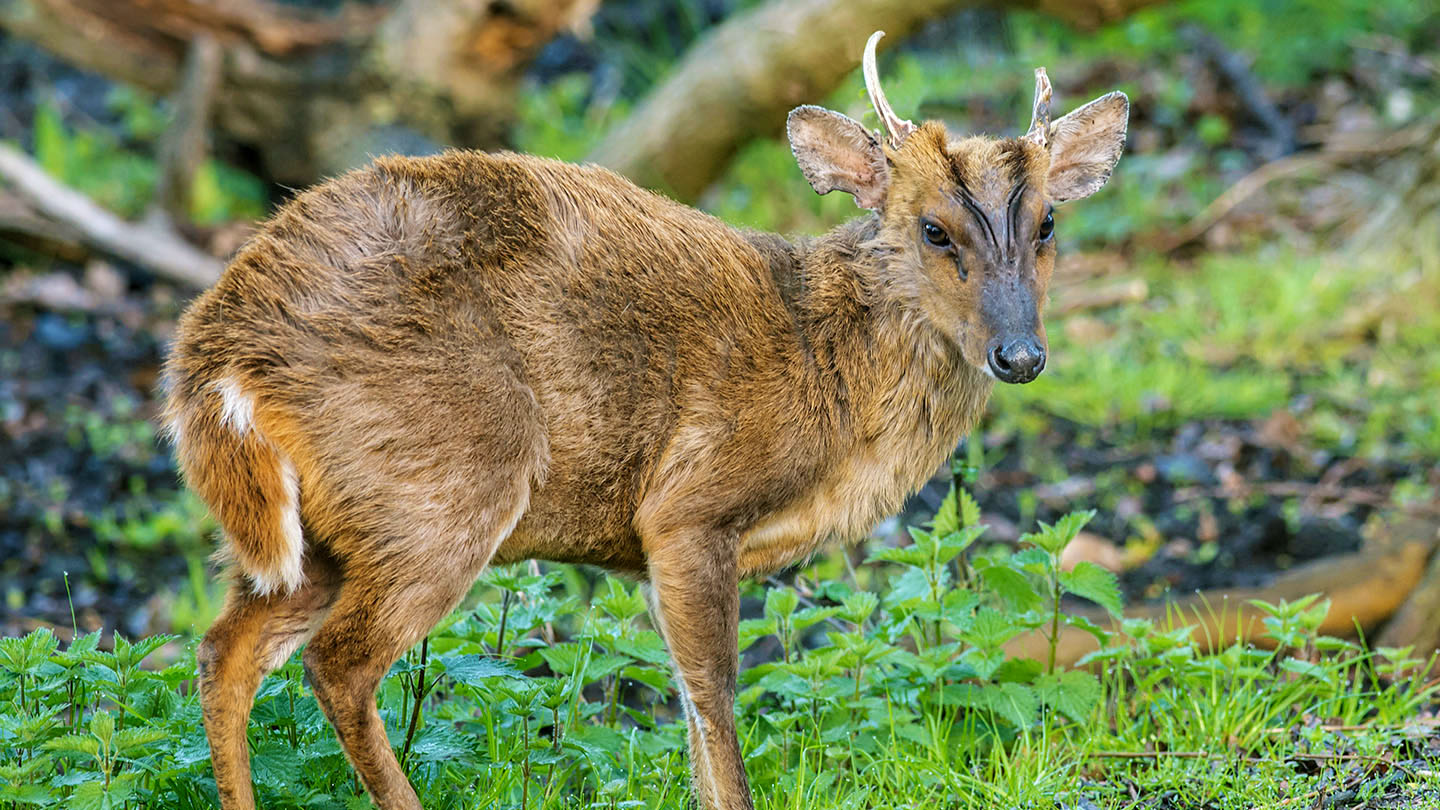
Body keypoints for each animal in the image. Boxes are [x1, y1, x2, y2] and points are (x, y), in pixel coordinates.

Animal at [162, 30, 1127, 810]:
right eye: (933, 230)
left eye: (1048, 222)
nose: (1019, 355)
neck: (829, 376)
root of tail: (215, 359)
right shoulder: (689, 507)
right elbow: (715, 696)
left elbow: (689, 707)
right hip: (444, 477)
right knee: (340, 662)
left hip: (319, 533)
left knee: (222, 653)